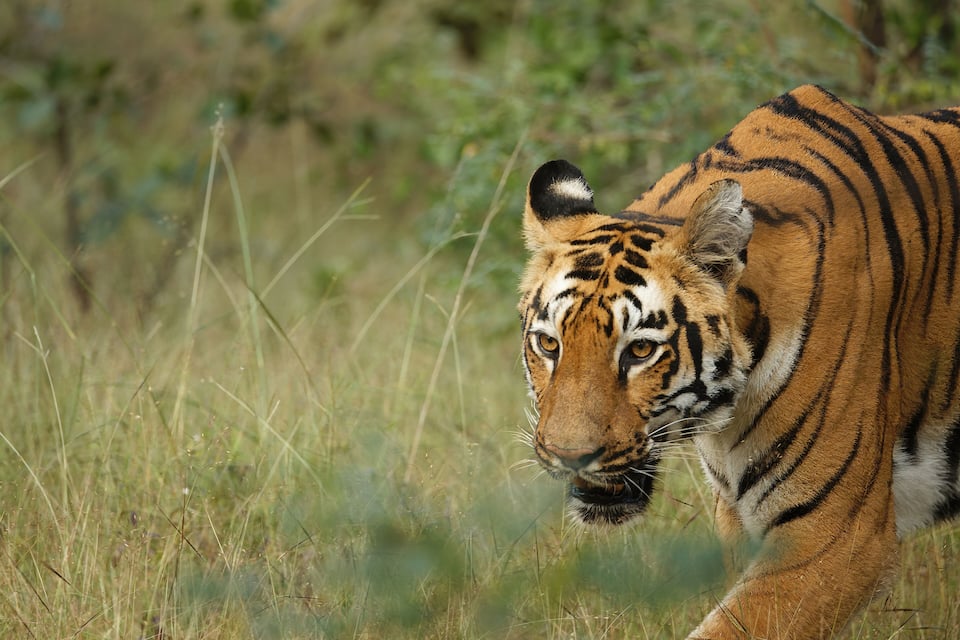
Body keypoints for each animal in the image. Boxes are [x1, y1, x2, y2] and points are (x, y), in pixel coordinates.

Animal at [517, 84, 960, 639]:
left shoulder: (837, 535)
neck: (729, 412)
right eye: (549, 344)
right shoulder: (740, 516)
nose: (570, 457)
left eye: (640, 350)